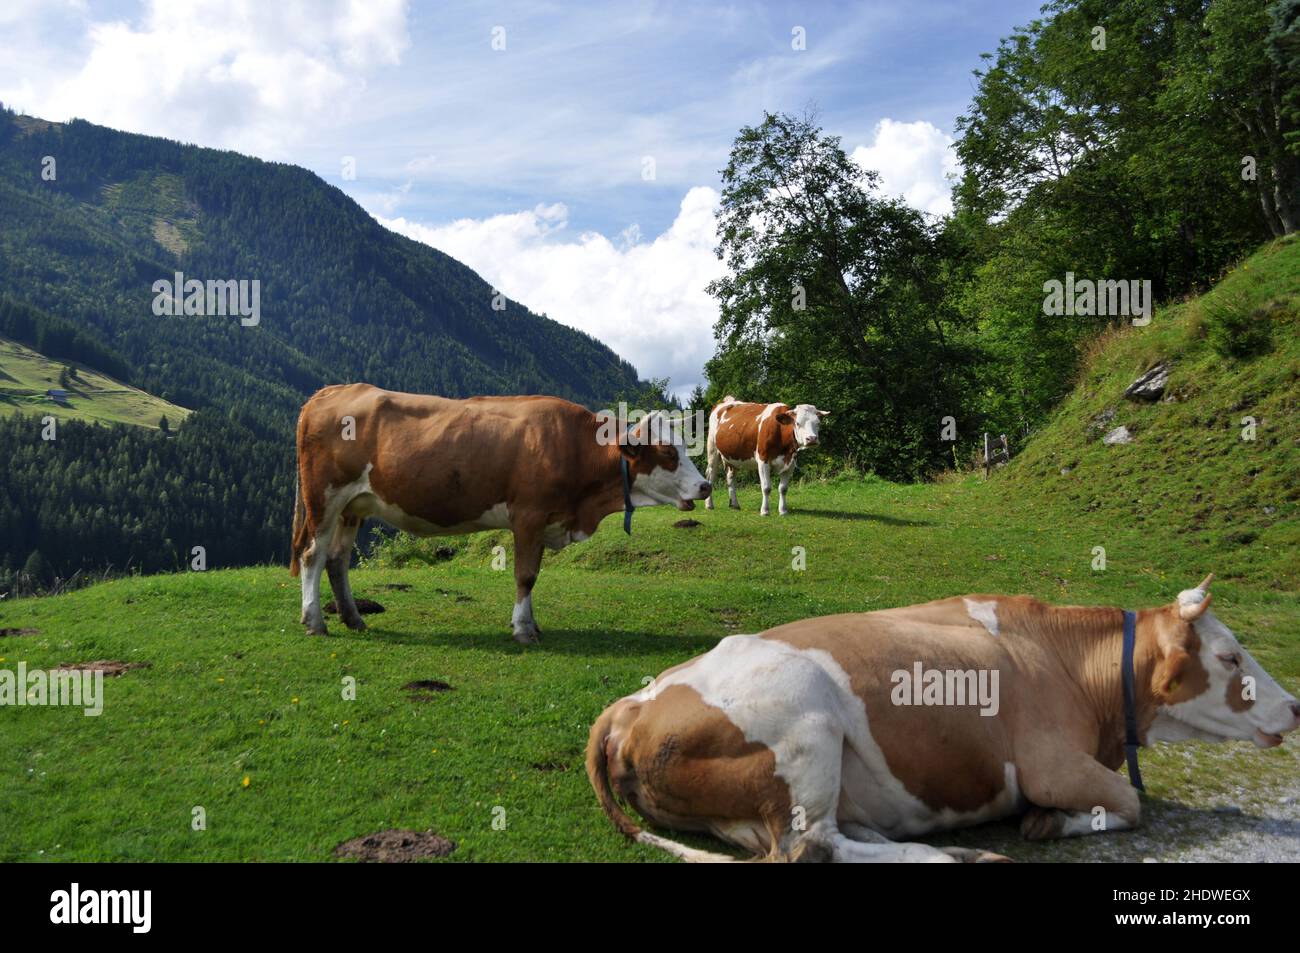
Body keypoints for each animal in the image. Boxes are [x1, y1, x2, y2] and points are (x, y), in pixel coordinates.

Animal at [290, 384, 711, 642]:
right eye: (669, 453)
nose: (705, 486)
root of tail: (330, 391)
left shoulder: (544, 521)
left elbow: (532, 574)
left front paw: (533, 624)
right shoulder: (529, 514)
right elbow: (526, 575)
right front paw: (523, 629)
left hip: (354, 506)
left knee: (337, 559)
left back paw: (353, 618)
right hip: (325, 499)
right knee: (312, 555)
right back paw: (314, 621)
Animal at [586, 575, 1300, 862]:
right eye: (1230, 656)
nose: (1294, 706)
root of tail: (631, 705)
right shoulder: (1048, 765)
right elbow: (1130, 801)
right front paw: (1049, 822)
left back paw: (958, 848)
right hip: (807, 727)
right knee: (810, 848)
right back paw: (948, 857)